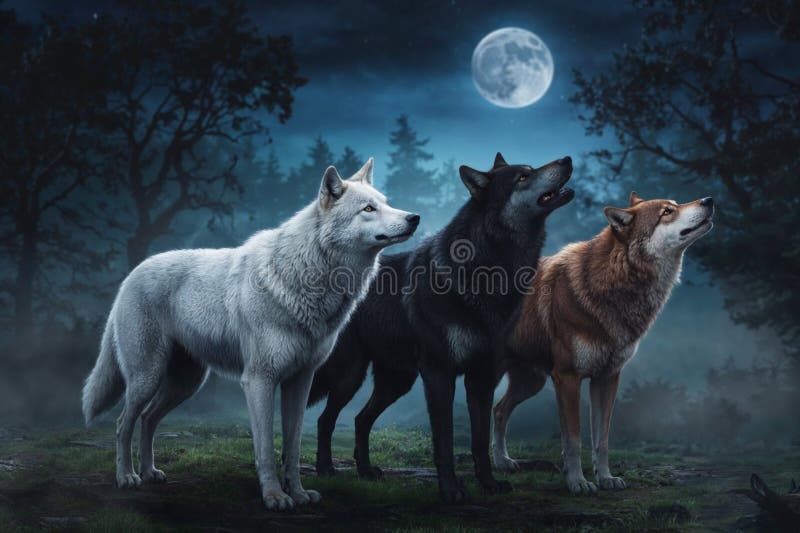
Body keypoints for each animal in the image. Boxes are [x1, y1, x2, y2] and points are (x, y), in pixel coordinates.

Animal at [81, 159, 419, 511]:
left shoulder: (300, 380)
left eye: (386, 202)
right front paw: (274, 496)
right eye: (368, 208)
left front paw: (299, 494)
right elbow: (267, 448)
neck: (308, 276)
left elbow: (292, 447)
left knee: (147, 419)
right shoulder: (259, 380)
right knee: (123, 423)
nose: (414, 218)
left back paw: (149, 473)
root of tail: (131, 273)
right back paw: (126, 477)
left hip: (186, 384)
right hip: (146, 377)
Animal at [308, 153, 574, 503]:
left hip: (396, 381)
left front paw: (489, 484)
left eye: (530, 170)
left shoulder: (482, 376)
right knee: (326, 419)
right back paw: (325, 469)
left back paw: (365, 471)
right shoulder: (439, 374)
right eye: (522, 177)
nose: (567, 159)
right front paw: (450, 490)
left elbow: (479, 441)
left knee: (360, 419)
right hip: (349, 376)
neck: (488, 272)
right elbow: (444, 441)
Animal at [492, 192, 714, 494]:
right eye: (667, 211)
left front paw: (606, 478)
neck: (614, 279)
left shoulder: (608, 378)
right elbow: (574, 440)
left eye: (675, 204)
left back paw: (503, 462)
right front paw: (578, 482)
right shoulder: (568, 378)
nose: (709, 200)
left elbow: (602, 439)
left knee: (498, 410)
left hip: (531, 383)